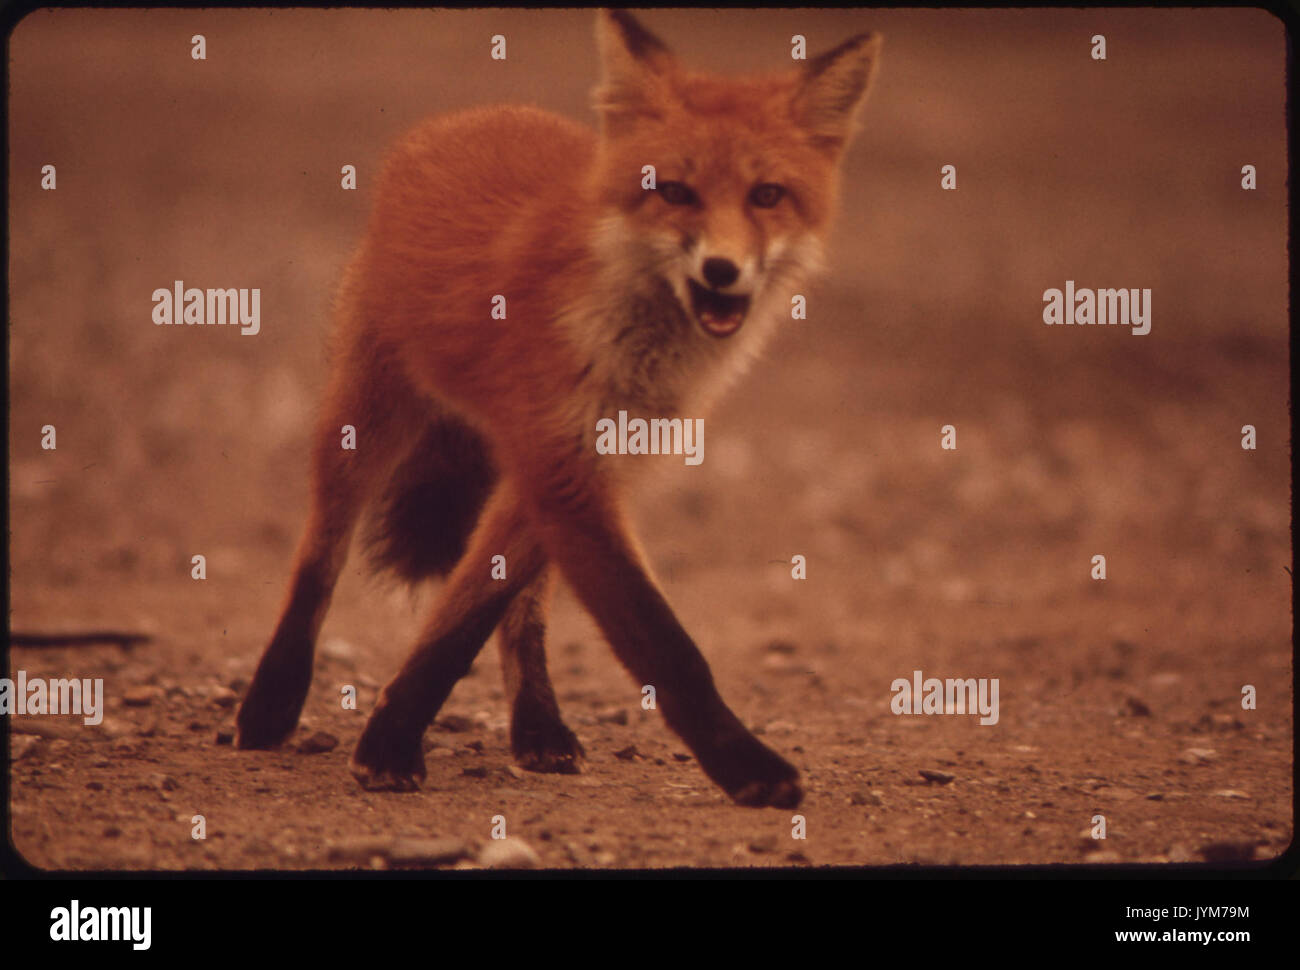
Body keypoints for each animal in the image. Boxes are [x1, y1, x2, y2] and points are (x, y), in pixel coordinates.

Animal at [235, 9, 882, 808]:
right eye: (674, 191)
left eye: (767, 195)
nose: (722, 270)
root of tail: (475, 114)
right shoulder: (561, 468)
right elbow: (665, 645)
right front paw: (747, 767)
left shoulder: (588, 465)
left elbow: (468, 617)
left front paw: (393, 733)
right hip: (367, 420)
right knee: (318, 558)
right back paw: (272, 699)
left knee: (523, 615)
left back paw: (538, 725)